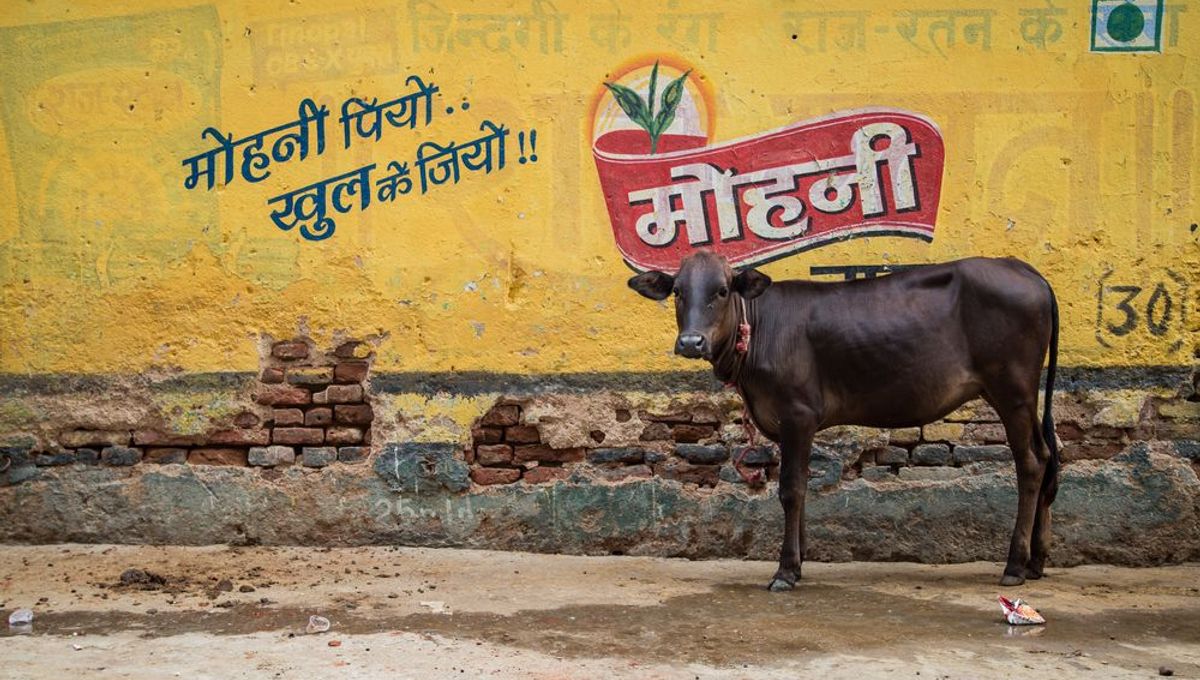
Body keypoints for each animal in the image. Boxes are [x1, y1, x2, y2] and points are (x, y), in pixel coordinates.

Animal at [628, 250, 1059, 591]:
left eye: (721, 290)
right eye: (678, 291)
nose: (691, 342)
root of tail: (1022, 268)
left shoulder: (797, 413)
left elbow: (791, 489)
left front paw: (786, 570)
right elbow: (800, 487)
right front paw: (799, 561)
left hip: (1012, 390)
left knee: (1030, 463)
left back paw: (1015, 565)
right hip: (1019, 396)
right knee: (1046, 456)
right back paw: (1037, 561)